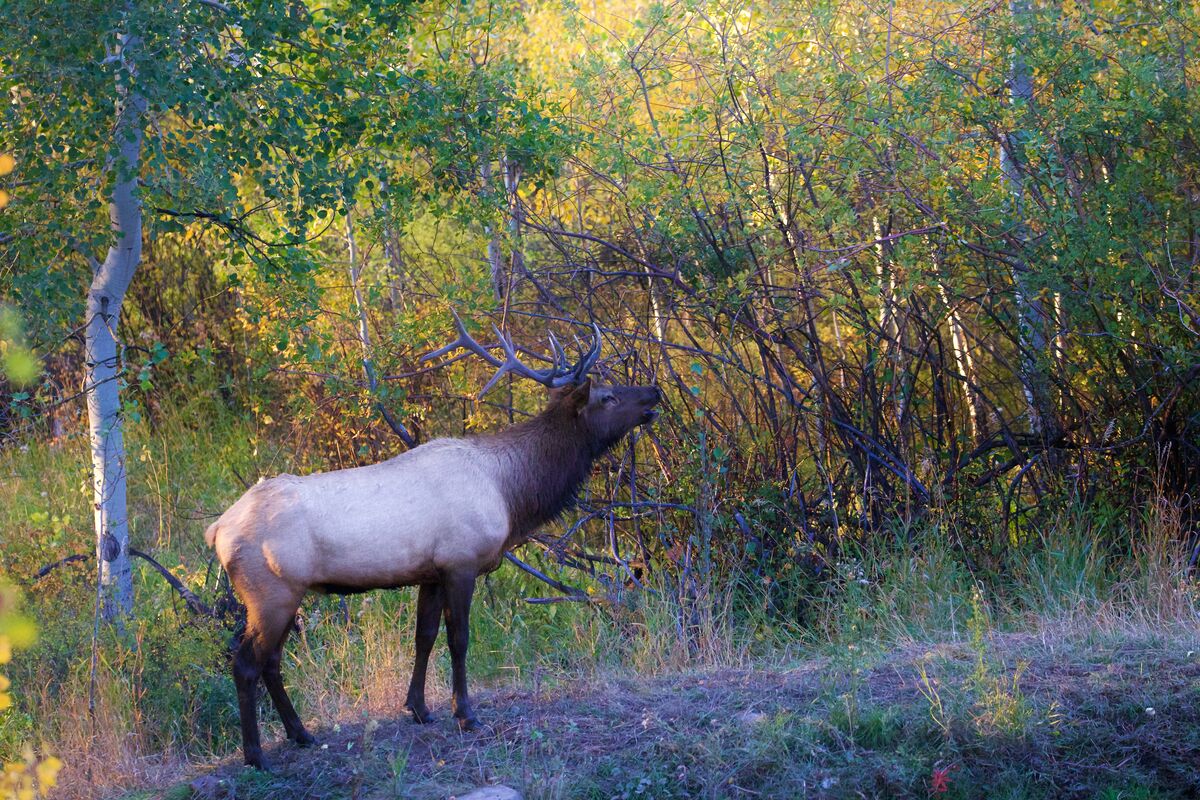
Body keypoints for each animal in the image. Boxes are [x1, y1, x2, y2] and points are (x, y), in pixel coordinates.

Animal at [205, 314, 661, 769]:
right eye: (607, 396)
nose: (654, 390)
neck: (511, 494)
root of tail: (218, 531)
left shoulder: (431, 571)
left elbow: (423, 637)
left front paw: (420, 708)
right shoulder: (461, 561)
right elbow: (458, 639)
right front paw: (465, 713)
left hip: (285, 594)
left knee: (271, 661)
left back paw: (301, 734)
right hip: (271, 592)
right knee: (246, 663)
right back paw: (256, 755)